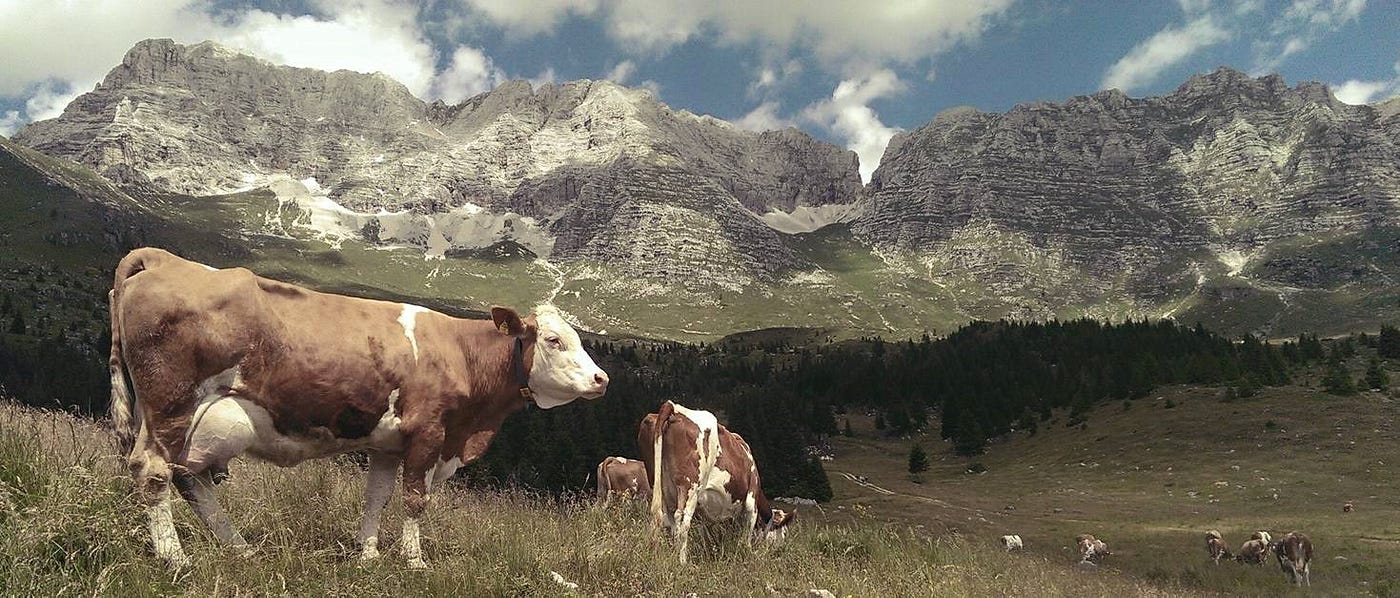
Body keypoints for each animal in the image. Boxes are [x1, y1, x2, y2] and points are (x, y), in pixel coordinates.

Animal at [107, 247, 609, 569]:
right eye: (553, 340)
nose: (601, 380)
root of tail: (163, 258)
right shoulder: (428, 432)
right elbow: (414, 499)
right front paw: (414, 561)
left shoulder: (387, 444)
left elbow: (377, 496)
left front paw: (367, 554)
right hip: (171, 402)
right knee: (154, 471)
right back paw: (176, 558)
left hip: (190, 419)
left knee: (190, 478)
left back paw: (239, 548)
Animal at [638, 401, 794, 563]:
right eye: (783, 532)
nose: (781, 551)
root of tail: (674, 407)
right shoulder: (751, 499)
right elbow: (746, 535)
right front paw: (747, 555)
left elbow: (708, 534)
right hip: (689, 486)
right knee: (682, 520)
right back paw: (682, 561)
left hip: (659, 483)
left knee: (663, 517)